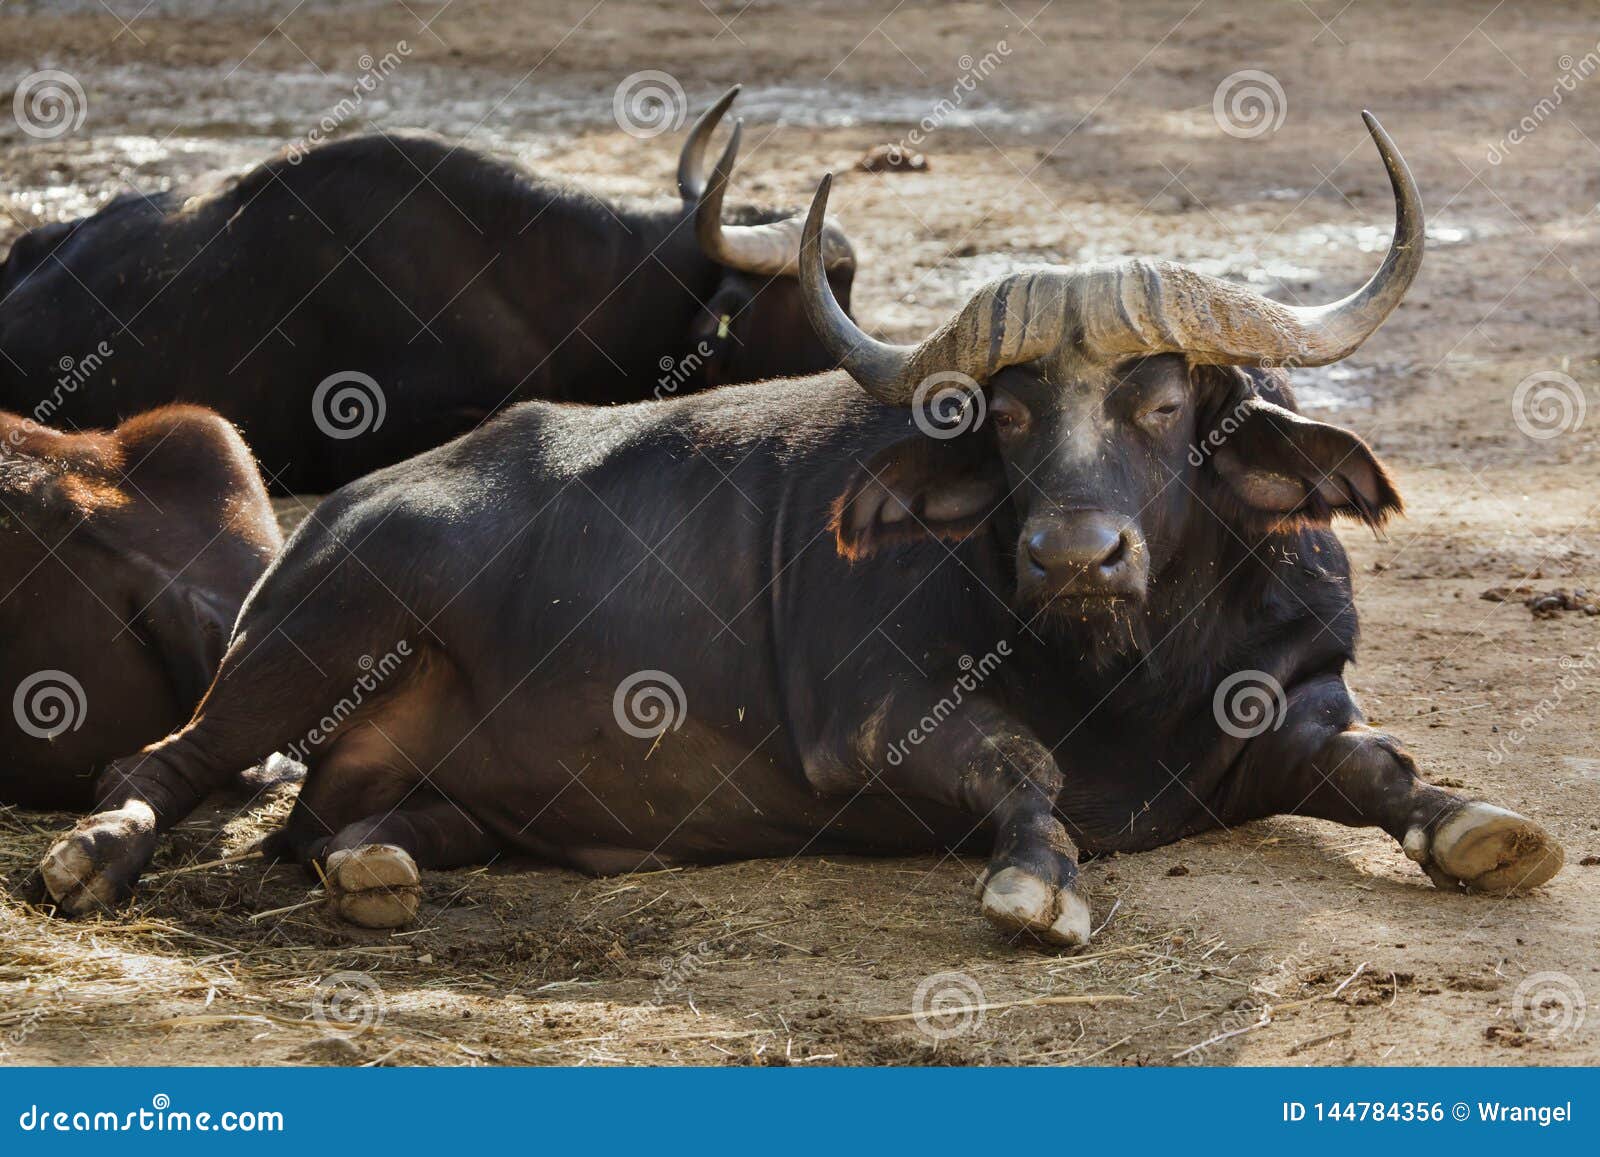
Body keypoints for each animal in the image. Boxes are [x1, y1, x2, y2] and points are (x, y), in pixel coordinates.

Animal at [35, 115, 1563, 942]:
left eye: (1166, 397)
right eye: (1007, 412)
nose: (1072, 555)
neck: (1127, 661)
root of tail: (337, 516)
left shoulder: (1292, 694)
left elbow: (1377, 766)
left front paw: (1481, 826)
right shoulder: (875, 722)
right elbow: (1027, 773)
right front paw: (1037, 883)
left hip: (428, 778)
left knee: (334, 826)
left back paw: (376, 867)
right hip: (314, 635)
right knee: (164, 763)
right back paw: (91, 854)